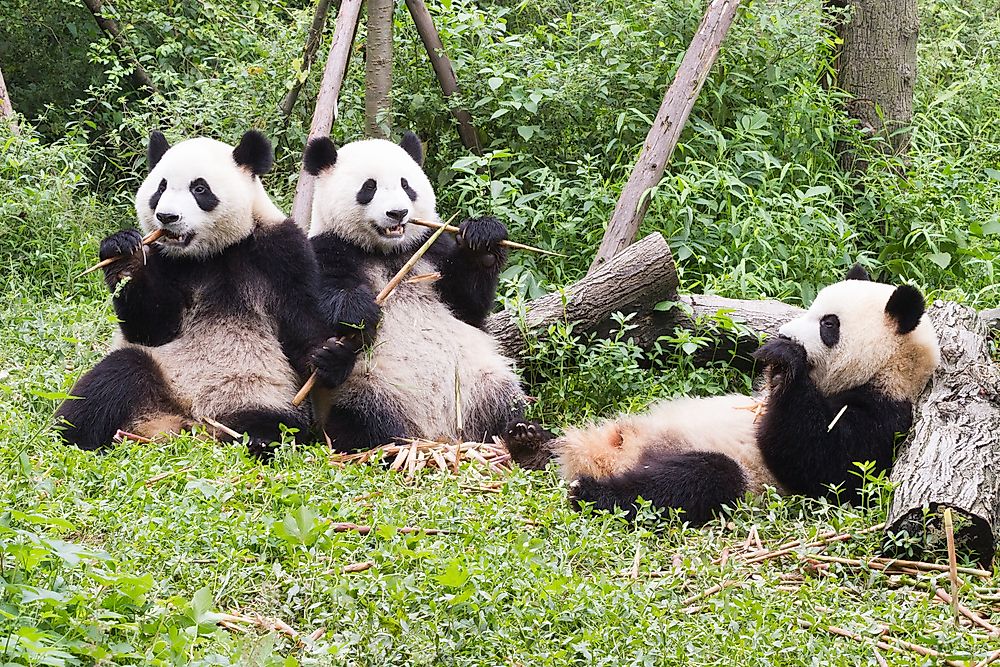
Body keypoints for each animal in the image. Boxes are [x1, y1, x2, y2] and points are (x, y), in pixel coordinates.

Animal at [56, 130, 341, 456]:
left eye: (200, 189)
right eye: (161, 188)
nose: (167, 217)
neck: (211, 254)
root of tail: (185, 421)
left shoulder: (282, 252)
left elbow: (301, 324)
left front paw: (330, 357)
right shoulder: (165, 261)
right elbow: (151, 328)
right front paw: (122, 251)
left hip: (259, 396)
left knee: (277, 427)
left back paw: (256, 438)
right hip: (161, 372)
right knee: (114, 376)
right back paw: (71, 436)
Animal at [303, 132, 527, 451]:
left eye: (406, 185)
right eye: (368, 187)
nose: (397, 213)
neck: (388, 252)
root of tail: (438, 436)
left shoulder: (430, 248)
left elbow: (468, 305)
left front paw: (483, 242)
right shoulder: (328, 248)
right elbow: (314, 304)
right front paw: (358, 313)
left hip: (479, 382)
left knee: (505, 404)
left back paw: (523, 436)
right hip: (371, 390)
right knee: (363, 424)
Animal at [504, 266, 941, 524]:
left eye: (828, 324)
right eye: (812, 307)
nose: (784, 334)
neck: (886, 370)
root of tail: (601, 457)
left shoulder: (884, 417)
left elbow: (825, 465)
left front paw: (784, 359)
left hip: (727, 471)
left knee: (694, 480)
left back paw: (592, 492)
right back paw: (530, 443)